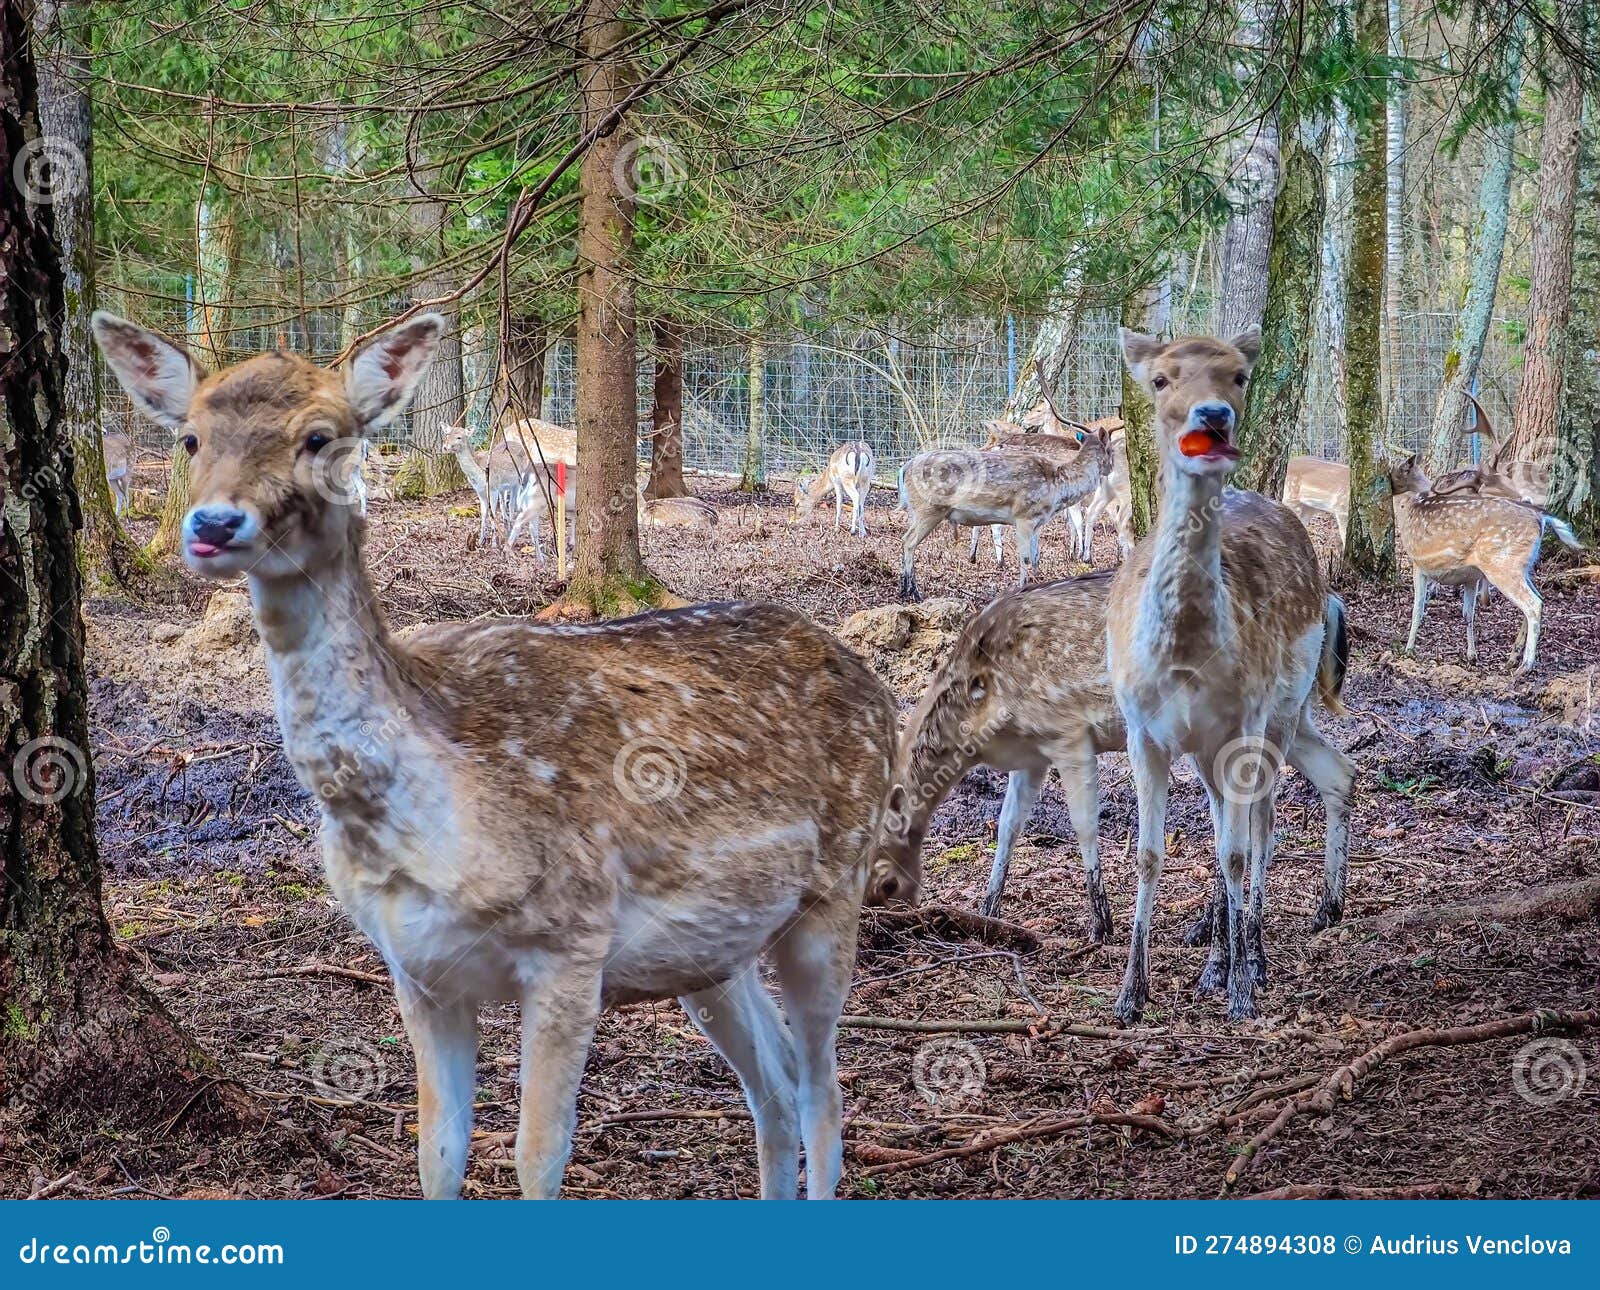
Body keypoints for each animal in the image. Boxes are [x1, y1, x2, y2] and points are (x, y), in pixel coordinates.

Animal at [94, 309, 897, 1200]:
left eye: (321, 435)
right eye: (192, 436)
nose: (212, 525)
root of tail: (877, 686)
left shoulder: (573, 944)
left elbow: (537, 1154)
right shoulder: (414, 970)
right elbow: (435, 1153)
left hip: (836, 890)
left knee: (826, 1093)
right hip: (712, 954)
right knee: (776, 1084)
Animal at [869, 573, 1354, 954]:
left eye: (882, 873)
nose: (880, 904)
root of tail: (1329, 601)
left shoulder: (1067, 732)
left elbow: (1084, 824)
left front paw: (1100, 923)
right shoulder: (1031, 756)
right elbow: (1008, 826)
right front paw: (988, 909)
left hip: (1264, 714)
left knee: (1259, 814)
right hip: (1298, 713)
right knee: (1339, 771)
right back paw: (1325, 910)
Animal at [897, 424, 1111, 600]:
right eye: (1110, 450)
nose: (1110, 468)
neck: (1058, 487)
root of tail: (904, 468)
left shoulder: (1037, 522)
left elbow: (1035, 557)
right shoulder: (1024, 516)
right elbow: (1024, 557)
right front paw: (1022, 589)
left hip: (915, 510)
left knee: (905, 538)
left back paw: (903, 588)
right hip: (930, 508)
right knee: (908, 540)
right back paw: (913, 592)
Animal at [1107, 327, 1342, 1024]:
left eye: (1239, 374)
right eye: (1159, 378)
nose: (1211, 415)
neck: (1185, 658)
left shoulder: (1243, 720)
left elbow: (1238, 848)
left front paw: (1243, 988)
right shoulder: (1142, 731)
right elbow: (1151, 854)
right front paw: (1131, 994)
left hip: (1281, 712)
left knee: (1262, 825)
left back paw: (1252, 957)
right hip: (1213, 747)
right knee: (1228, 823)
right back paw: (1216, 957)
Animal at [1386, 452, 1579, 673]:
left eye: (1396, 469)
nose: (1387, 478)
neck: (1408, 509)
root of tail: (1541, 517)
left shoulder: (1418, 564)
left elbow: (1417, 609)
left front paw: (1409, 649)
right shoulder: (1470, 576)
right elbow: (1468, 614)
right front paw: (1472, 655)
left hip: (1502, 563)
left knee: (1533, 604)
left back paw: (1525, 665)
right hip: (1523, 565)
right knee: (1539, 597)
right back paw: (1513, 657)